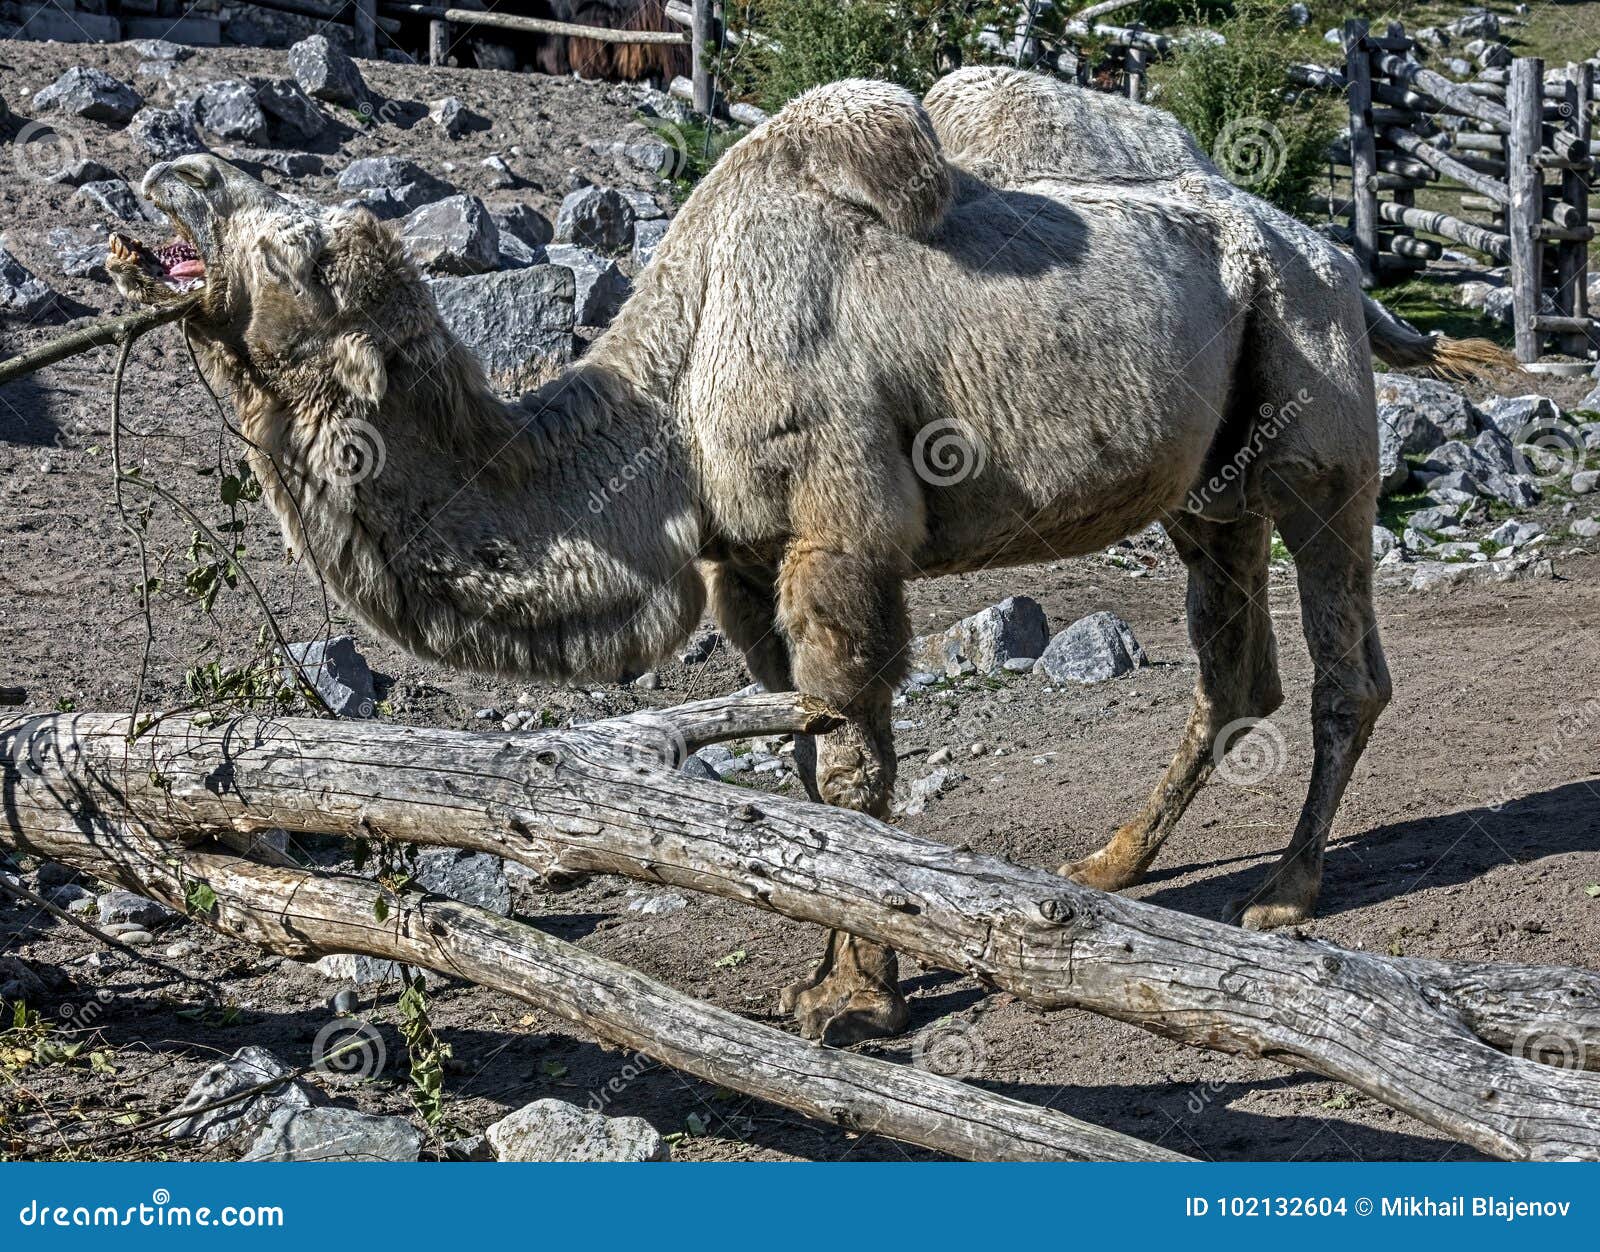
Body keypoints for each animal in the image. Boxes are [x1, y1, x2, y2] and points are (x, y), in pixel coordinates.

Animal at [109, 67, 1506, 1046]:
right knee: (1232, 672)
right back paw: (1112, 866)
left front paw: (858, 1002)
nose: (173, 169)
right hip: (1208, 483)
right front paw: (838, 970)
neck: (670, 401)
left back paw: (1287, 892)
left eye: (300, 246)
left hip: (1316, 426)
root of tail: (1344, 265)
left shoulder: (841, 532)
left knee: (1343, 663)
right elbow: (802, 767)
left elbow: (845, 754)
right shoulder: (743, 563)